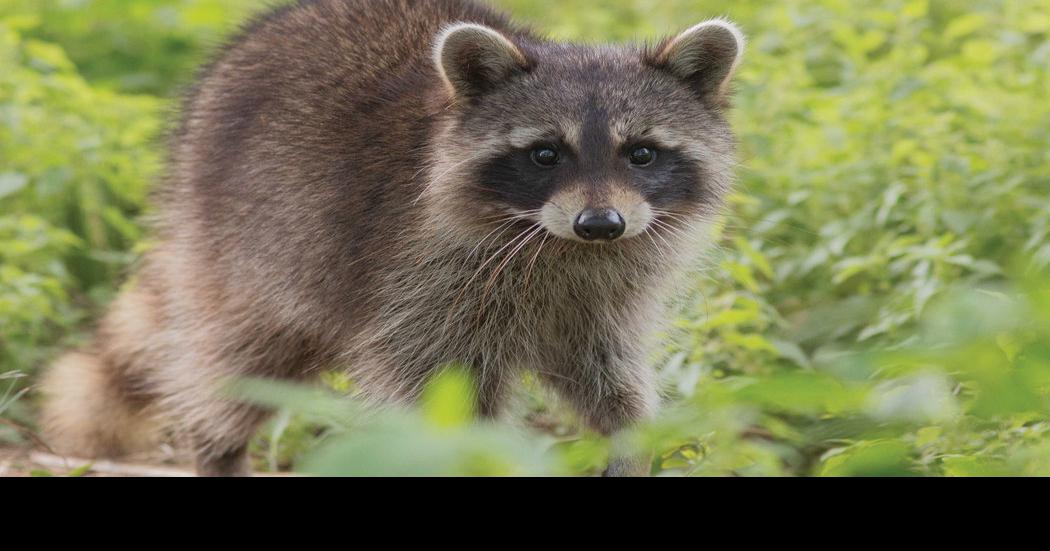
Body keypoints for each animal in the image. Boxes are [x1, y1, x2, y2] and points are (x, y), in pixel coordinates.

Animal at [39, 0, 744, 476]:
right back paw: (218, 446)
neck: (554, 243)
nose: (601, 223)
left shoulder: (604, 293)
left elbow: (608, 376)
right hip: (249, 242)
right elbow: (438, 400)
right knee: (237, 363)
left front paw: (632, 441)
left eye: (642, 153)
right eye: (546, 154)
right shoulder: (421, 278)